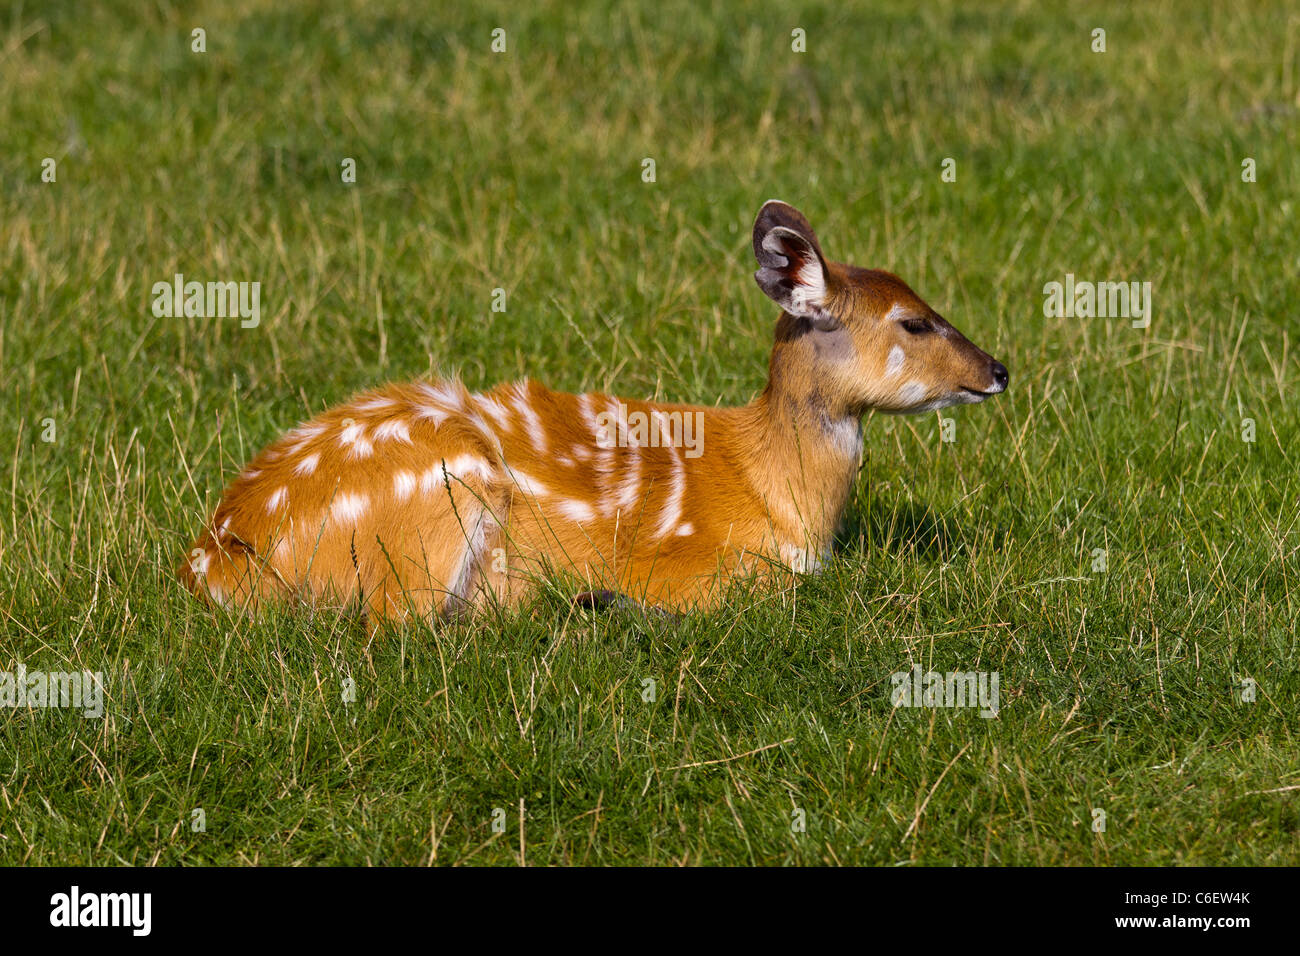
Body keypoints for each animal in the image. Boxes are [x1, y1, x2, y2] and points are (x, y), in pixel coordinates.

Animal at [179, 201, 1008, 628]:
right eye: (913, 322)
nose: (998, 370)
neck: (778, 491)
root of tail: (215, 563)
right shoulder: (692, 565)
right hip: (440, 491)